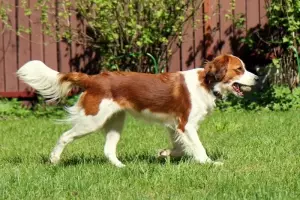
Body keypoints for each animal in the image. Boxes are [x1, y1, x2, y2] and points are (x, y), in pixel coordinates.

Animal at [16, 54, 258, 166]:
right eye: (239, 69)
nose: (257, 79)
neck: (207, 83)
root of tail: (94, 79)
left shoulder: (174, 126)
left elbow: (179, 148)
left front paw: (164, 153)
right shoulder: (186, 125)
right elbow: (198, 147)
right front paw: (209, 163)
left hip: (115, 122)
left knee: (108, 150)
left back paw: (121, 167)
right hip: (91, 121)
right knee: (65, 136)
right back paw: (54, 159)